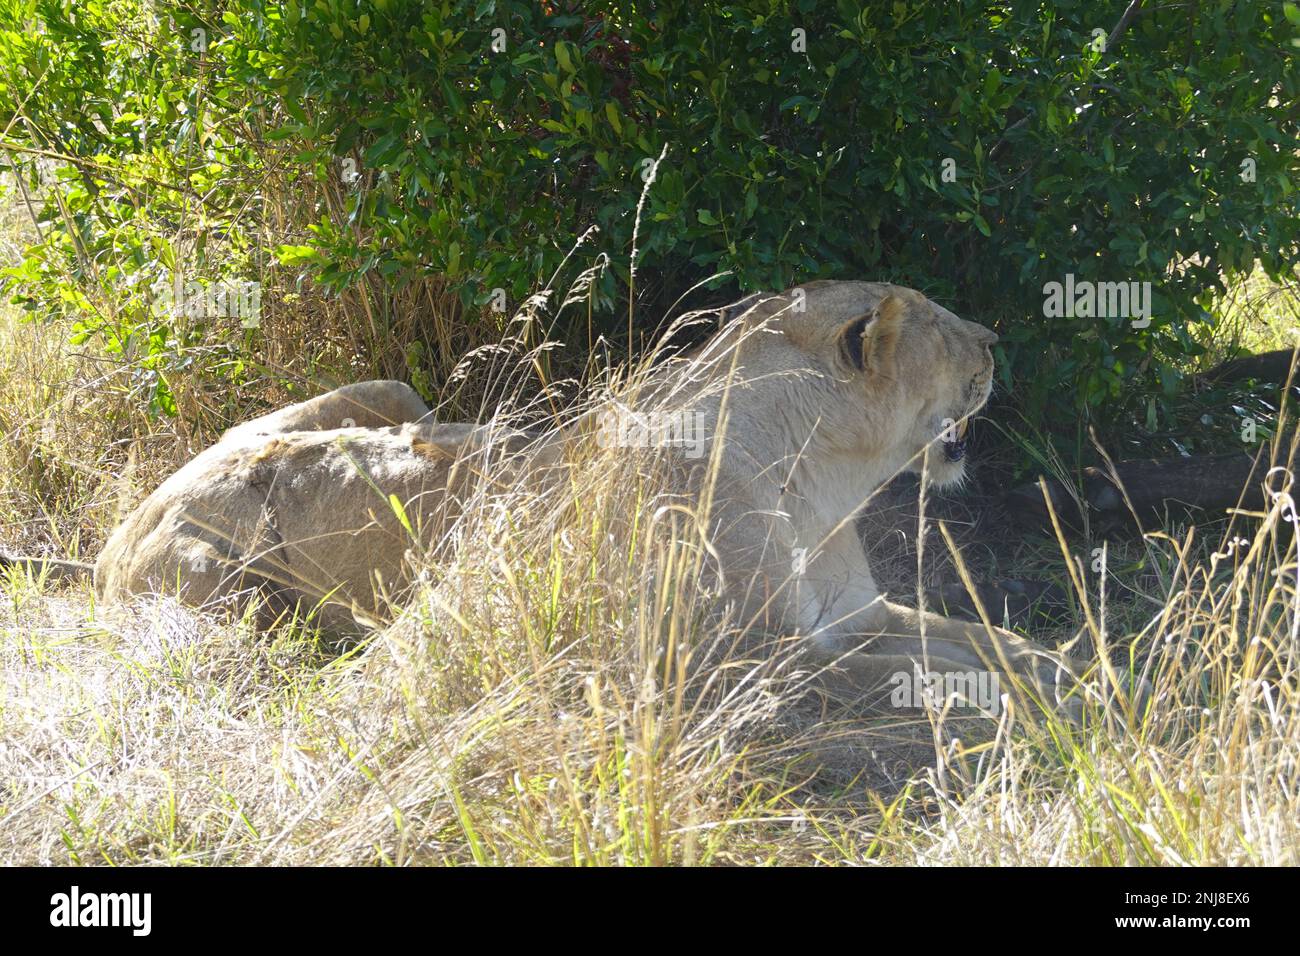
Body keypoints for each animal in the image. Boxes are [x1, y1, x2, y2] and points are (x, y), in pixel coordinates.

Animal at [3, 280, 1087, 717]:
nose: (997, 342)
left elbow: (990, 640)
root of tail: (117, 531)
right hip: (231, 596)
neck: (821, 487)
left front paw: (1083, 669)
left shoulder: (855, 614)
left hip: (394, 392)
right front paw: (1052, 704)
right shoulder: (747, 662)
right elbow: (941, 679)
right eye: (942, 327)